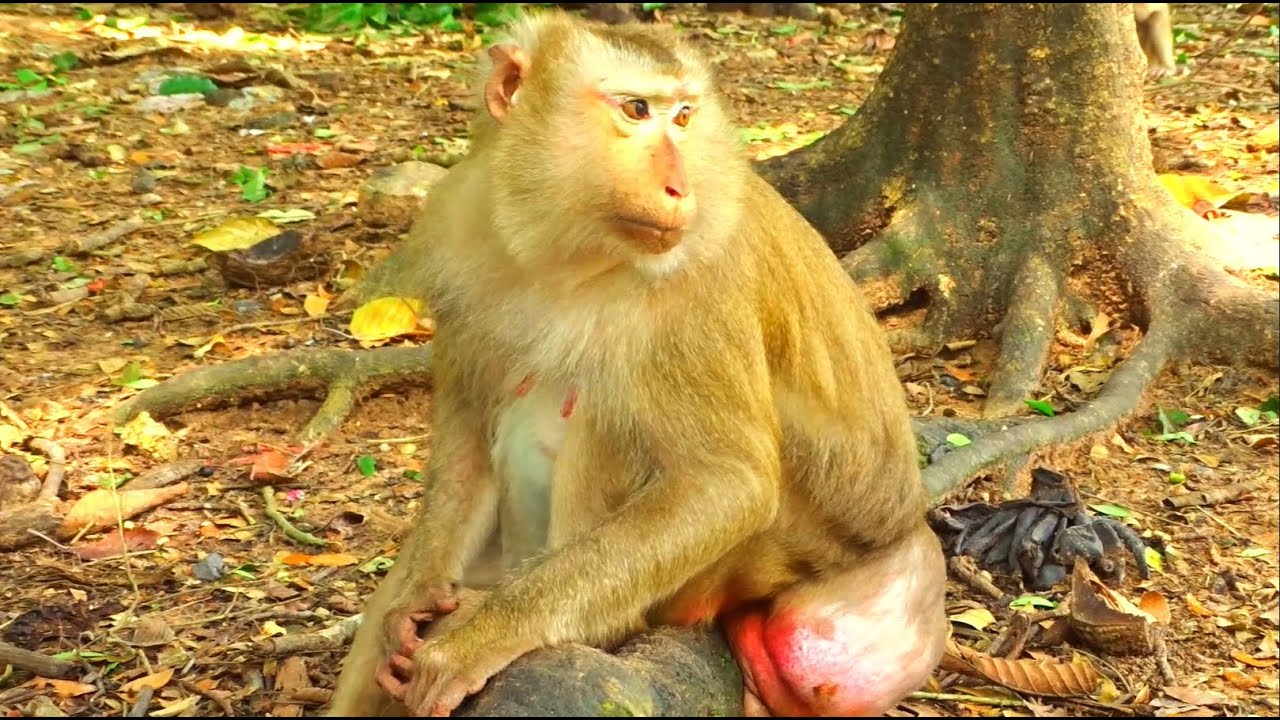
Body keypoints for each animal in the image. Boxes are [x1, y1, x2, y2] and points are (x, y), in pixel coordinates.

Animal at [326, 10, 948, 718]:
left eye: (683, 116)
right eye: (636, 109)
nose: (680, 187)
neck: (567, 252)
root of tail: (902, 528)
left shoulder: (699, 282)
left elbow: (724, 484)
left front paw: (475, 637)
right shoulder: (457, 231)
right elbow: (464, 438)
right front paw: (412, 606)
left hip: (760, 559)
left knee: (607, 401)